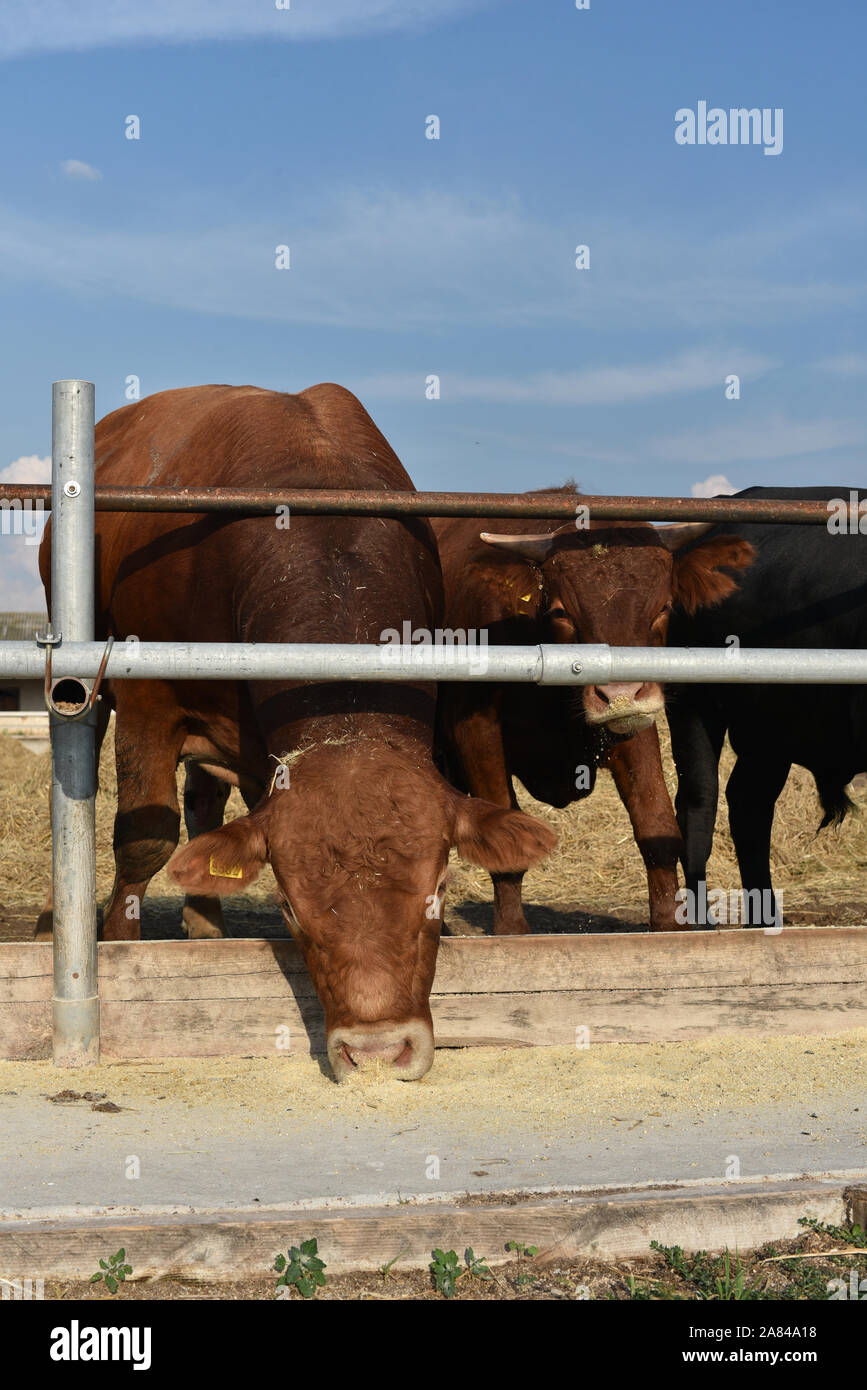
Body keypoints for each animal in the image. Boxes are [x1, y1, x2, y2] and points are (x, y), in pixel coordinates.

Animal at [37, 384, 555, 1080]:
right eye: (288, 905)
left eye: (440, 891)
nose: (378, 1049)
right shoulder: (149, 700)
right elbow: (143, 840)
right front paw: (120, 950)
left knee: (205, 804)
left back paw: (207, 929)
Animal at [433, 488, 753, 934]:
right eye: (560, 612)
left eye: (664, 607)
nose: (618, 693)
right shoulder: (474, 730)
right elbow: (507, 839)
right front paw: (512, 933)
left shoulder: (633, 723)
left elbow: (656, 827)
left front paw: (668, 929)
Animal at [667, 484, 867, 928]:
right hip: (693, 705)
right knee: (698, 804)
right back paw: (702, 922)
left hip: (771, 732)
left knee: (748, 805)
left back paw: (764, 921)